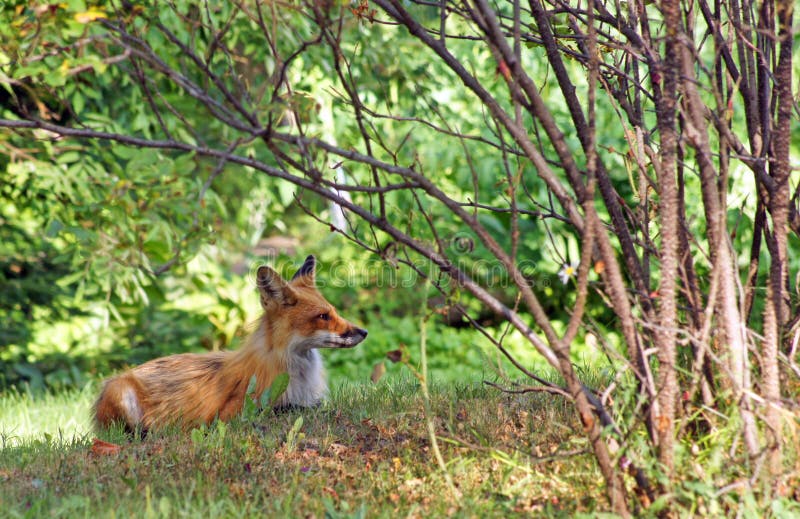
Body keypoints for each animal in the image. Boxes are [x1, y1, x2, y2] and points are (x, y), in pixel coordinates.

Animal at [94, 255, 367, 433]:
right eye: (323, 316)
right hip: (122, 393)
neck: (296, 374)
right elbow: (296, 409)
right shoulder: (232, 414)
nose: (363, 332)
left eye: (333, 312)